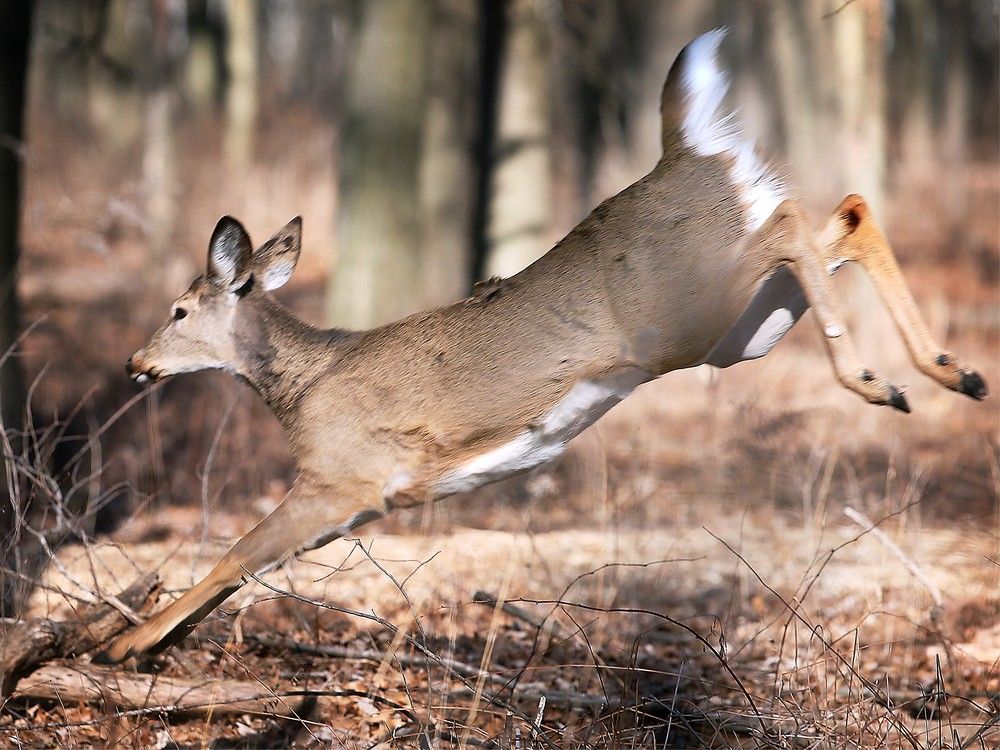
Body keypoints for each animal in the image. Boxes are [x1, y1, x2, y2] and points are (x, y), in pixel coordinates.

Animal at [100, 30, 987, 663]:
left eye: (179, 309)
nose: (134, 363)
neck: (301, 387)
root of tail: (683, 152)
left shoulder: (340, 477)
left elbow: (231, 555)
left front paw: (123, 642)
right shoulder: (354, 501)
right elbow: (244, 569)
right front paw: (154, 638)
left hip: (690, 307)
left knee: (794, 218)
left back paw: (878, 379)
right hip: (739, 334)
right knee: (847, 213)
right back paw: (950, 375)